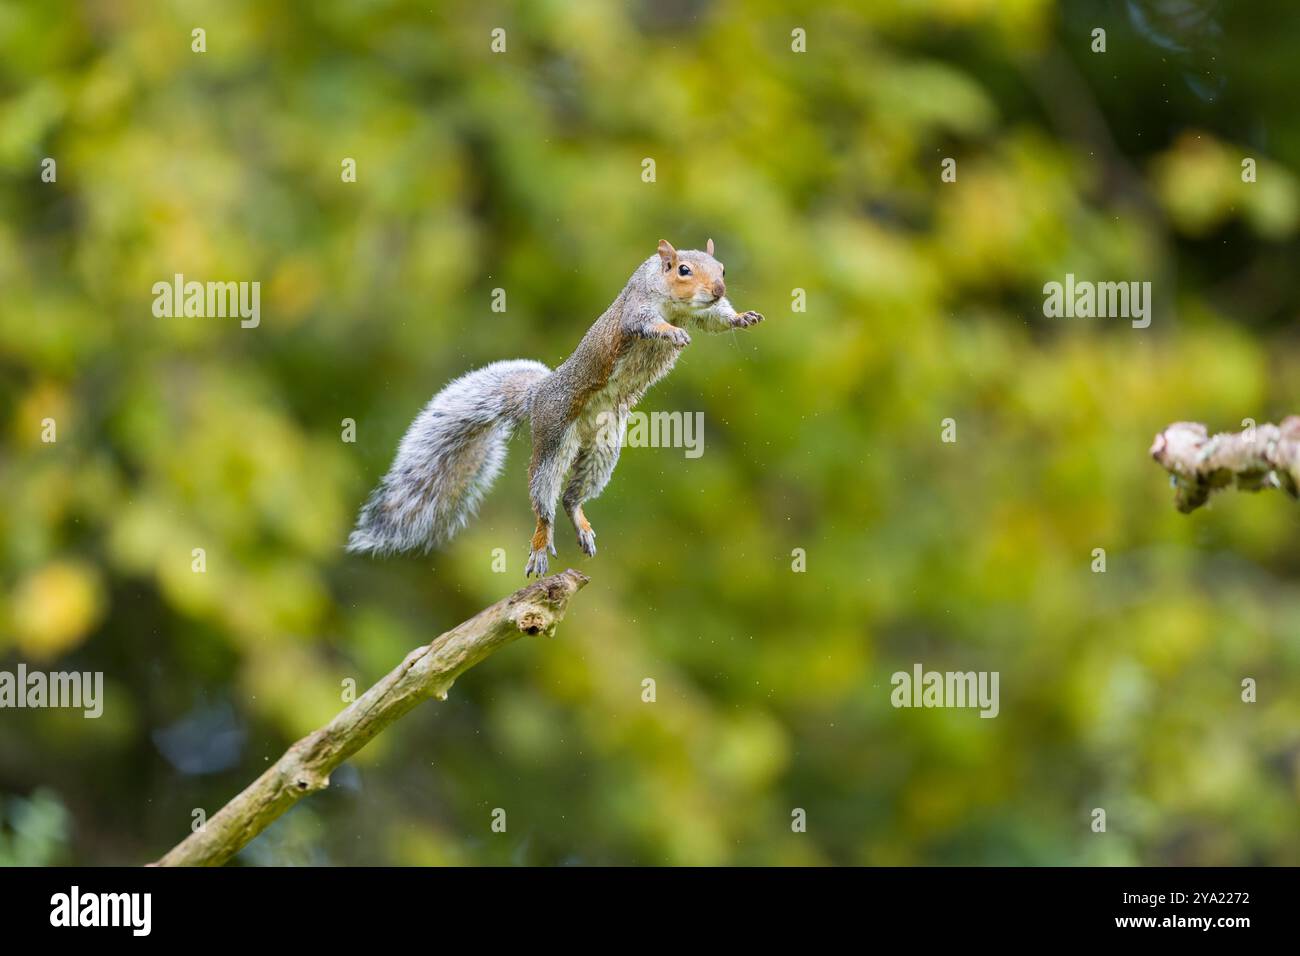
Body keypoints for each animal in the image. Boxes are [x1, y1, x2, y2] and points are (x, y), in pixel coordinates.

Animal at [347, 238, 764, 577]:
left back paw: (580, 523)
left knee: (569, 498)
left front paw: (741, 317)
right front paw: (672, 332)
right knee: (544, 500)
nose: (719, 289)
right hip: (553, 440)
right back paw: (539, 545)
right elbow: (646, 323)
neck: (673, 301)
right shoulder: (637, 308)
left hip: (602, 448)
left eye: (722, 269)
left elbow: (715, 320)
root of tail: (539, 394)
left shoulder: (702, 313)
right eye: (683, 270)